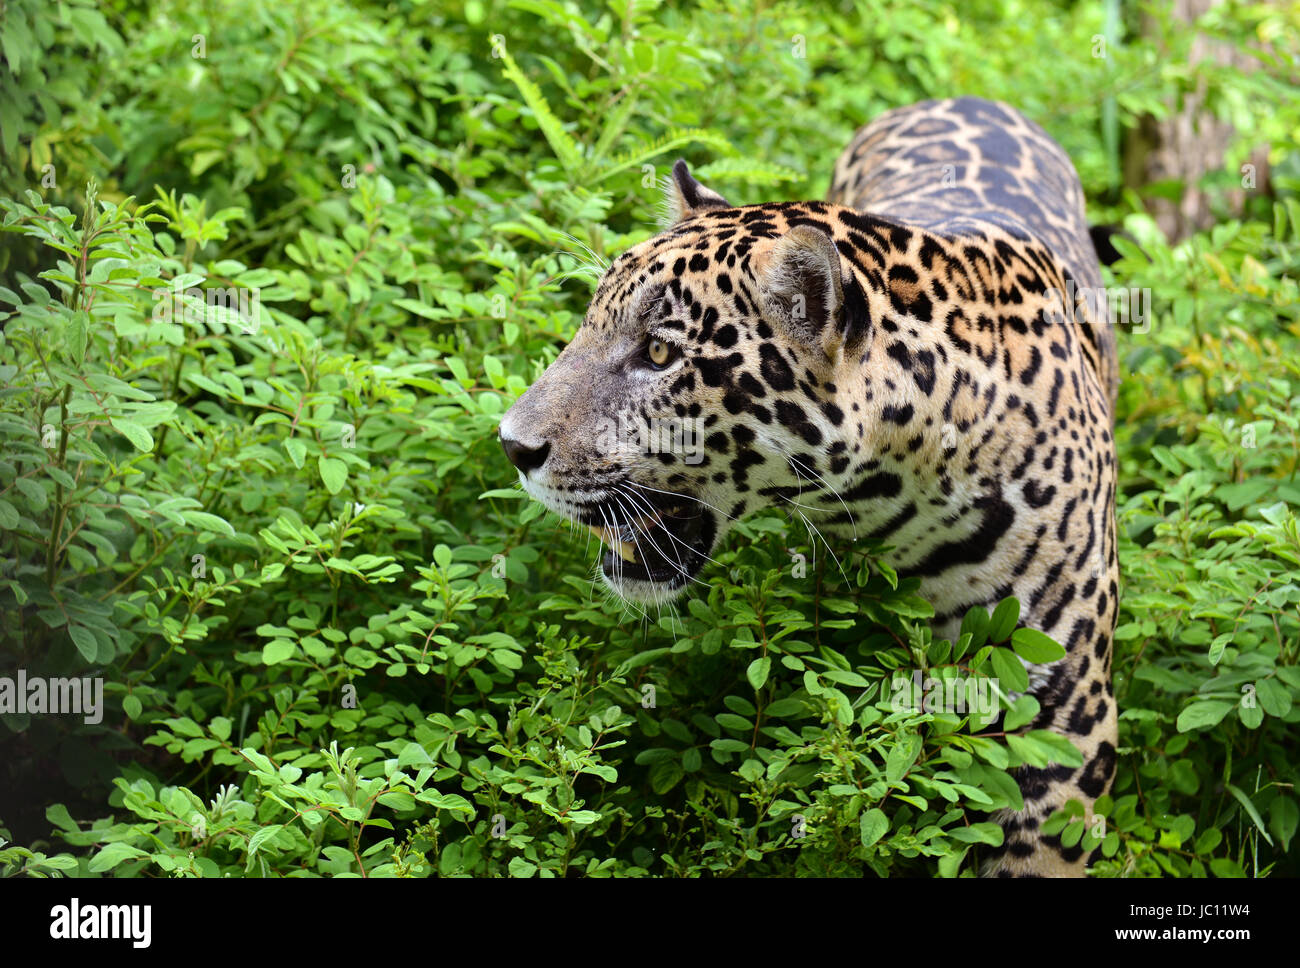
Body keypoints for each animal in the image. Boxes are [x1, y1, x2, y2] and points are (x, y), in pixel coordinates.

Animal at [498, 96, 1119, 877]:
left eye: (660, 353)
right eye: (587, 323)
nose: (511, 445)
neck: (900, 505)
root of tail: (966, 96)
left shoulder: (1061, 723)